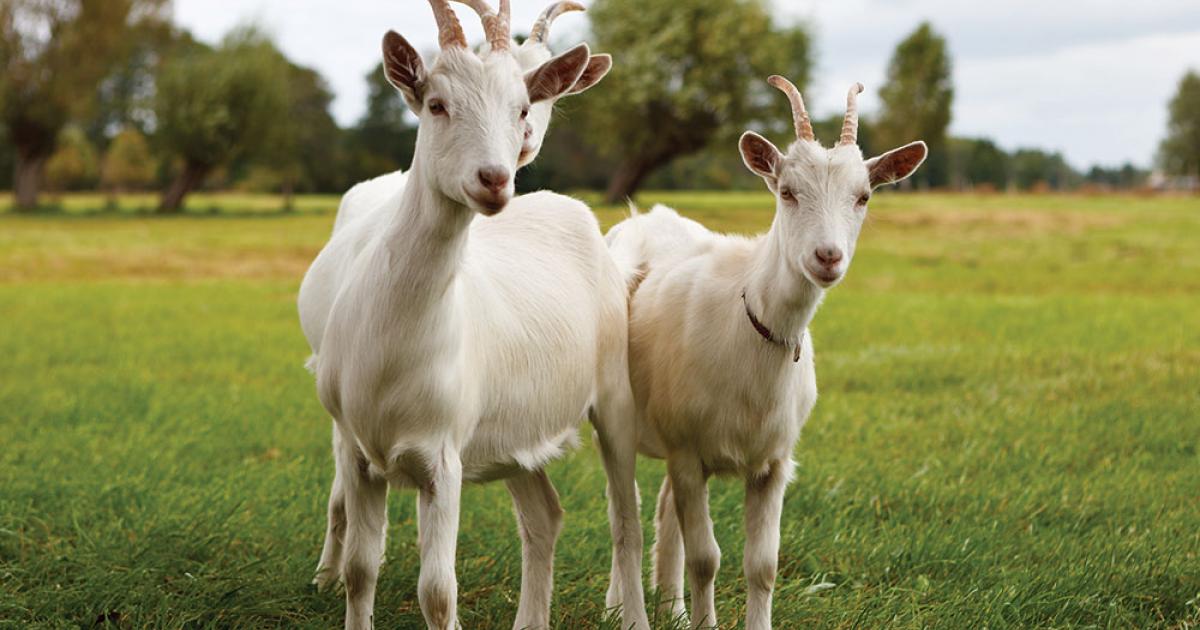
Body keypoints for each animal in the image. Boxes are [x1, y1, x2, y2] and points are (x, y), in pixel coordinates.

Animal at [298, 2, 647, 628]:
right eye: (437, 103)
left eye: (522, 106)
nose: (495, 178)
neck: (393, 343)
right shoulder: (361, 450)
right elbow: (363, 570)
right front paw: (338, 578)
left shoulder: (444, 456)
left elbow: (438, 590)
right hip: (517, 429)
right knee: (544, 516)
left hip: (615, 396)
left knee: (624, 515)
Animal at [605, 75, 927, 630]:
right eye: (787, 191)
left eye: (863, 196)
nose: (827, 256)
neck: (749, 326)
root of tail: (640, 218)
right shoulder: (689, 452)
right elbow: (706, 558)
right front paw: (705, 623)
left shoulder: (774, 461)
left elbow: (763, 564)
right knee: (625, 511)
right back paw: (617, 606)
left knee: (665, 505)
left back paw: (671, 607)